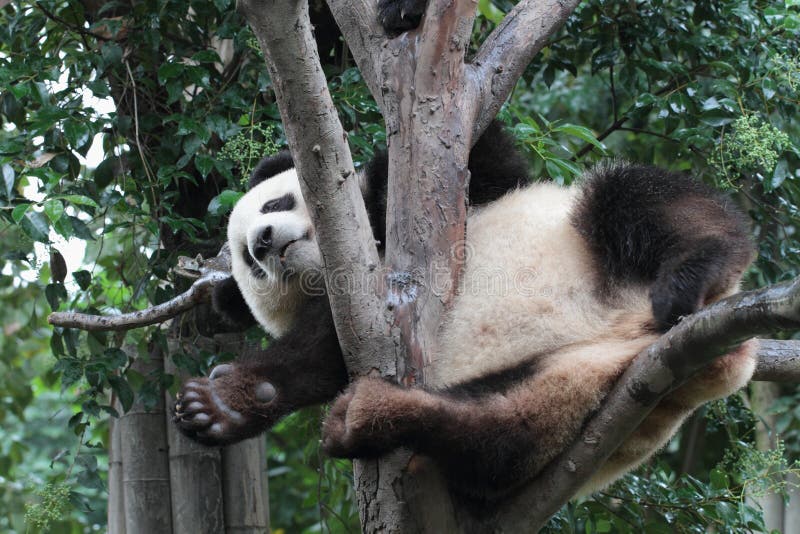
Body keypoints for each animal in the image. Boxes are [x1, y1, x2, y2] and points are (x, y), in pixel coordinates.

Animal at [174, 117, 756, 499]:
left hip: (605, 254)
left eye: (275, 203)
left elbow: (480, 155)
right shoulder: (354, 312)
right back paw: (369, 417)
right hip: (574, 386)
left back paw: (691, 274)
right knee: (497, 437)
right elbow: (319, 356)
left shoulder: (476, 196)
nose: (265, 241)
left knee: (639, 197)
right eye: (252, 263)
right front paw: (224, 404)